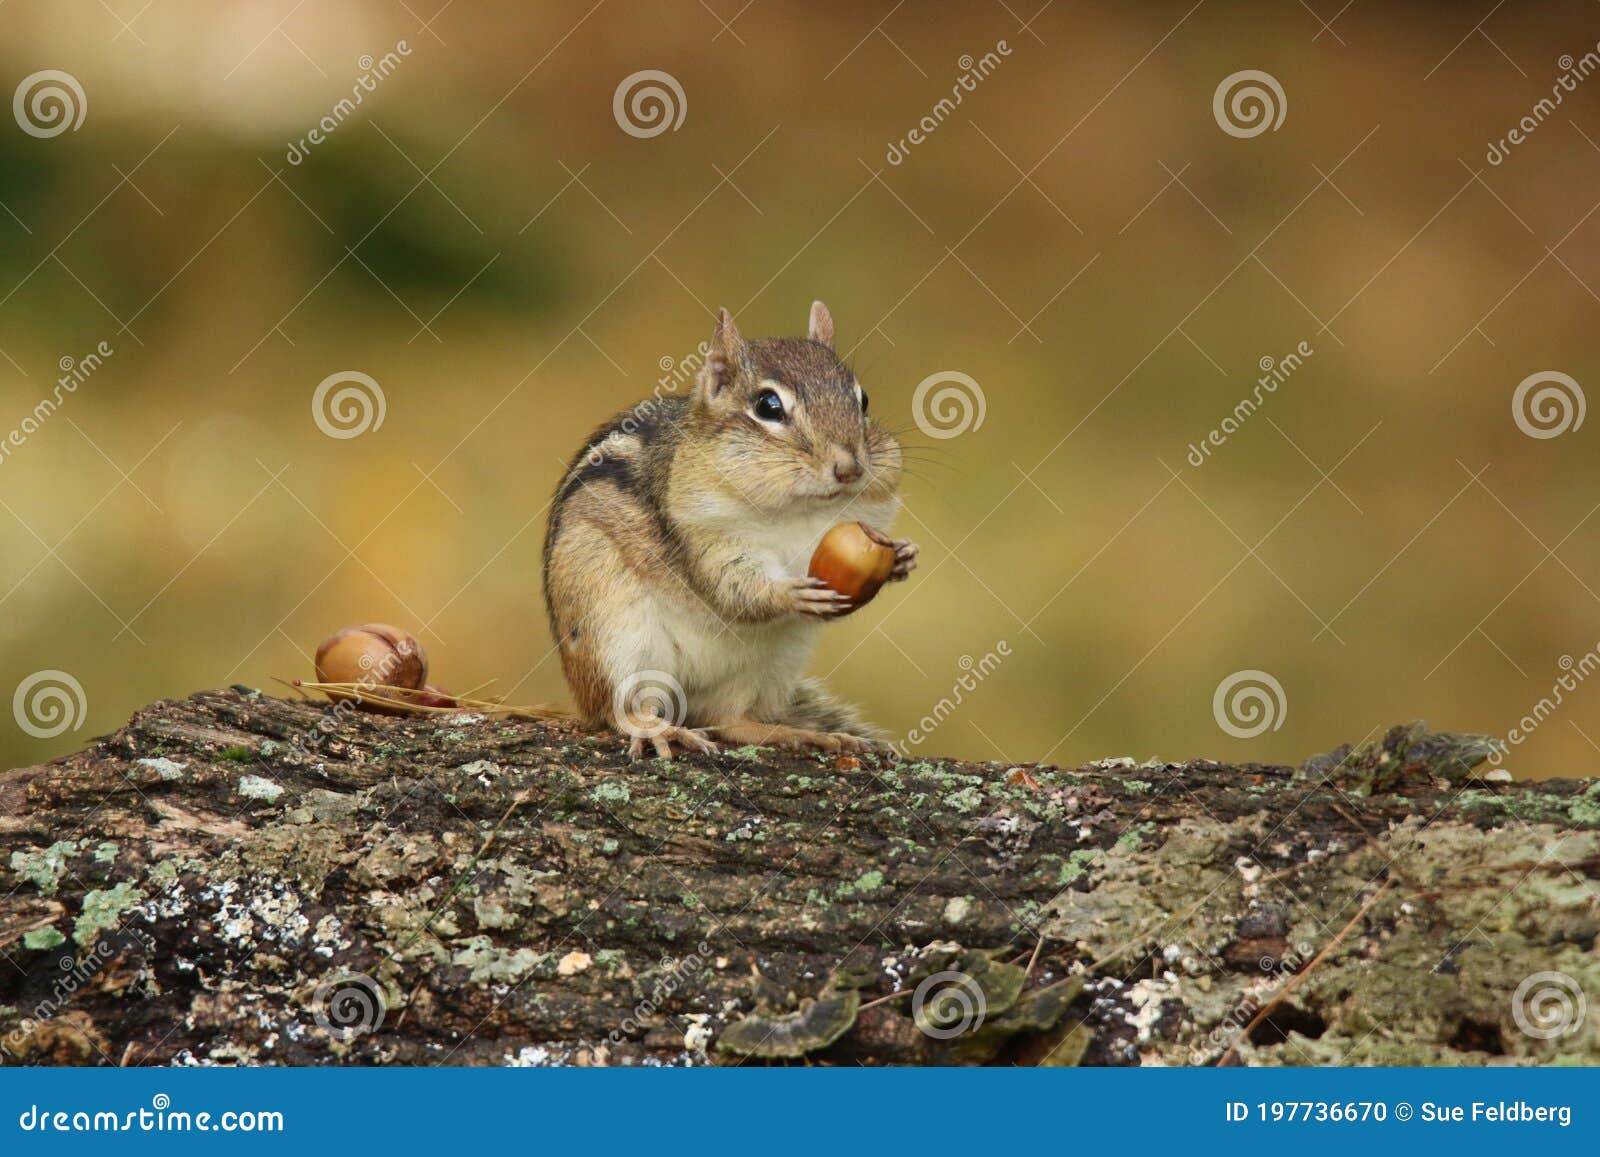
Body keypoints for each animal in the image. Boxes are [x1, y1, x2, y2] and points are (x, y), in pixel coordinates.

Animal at [542, 300, 918, 759]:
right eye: (768, 406)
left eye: (863, 400)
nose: (849, 469)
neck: (800, 508)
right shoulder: (705, 534)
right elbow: (732, 585)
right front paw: (788, 593)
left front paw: (902, 557)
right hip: (611, 636)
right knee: (619, 709)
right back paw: (660, 729)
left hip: (772, 665)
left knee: (730, 720)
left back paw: (801, 733)